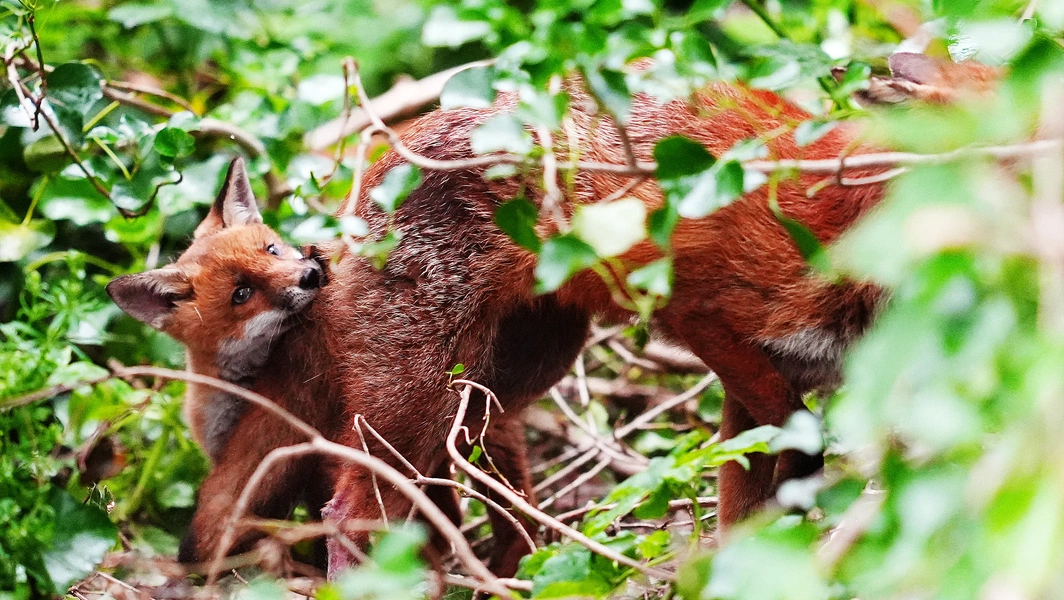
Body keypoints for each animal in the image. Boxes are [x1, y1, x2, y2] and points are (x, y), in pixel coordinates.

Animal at [106, 52, 1001, 577]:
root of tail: (363, 180)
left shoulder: (751, 388)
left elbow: (746, 514)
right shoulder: (708, 315)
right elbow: (797, 439)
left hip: (497, 392)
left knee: (475, 502)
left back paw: (514, 576)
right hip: (413, 404)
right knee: (352, 516)